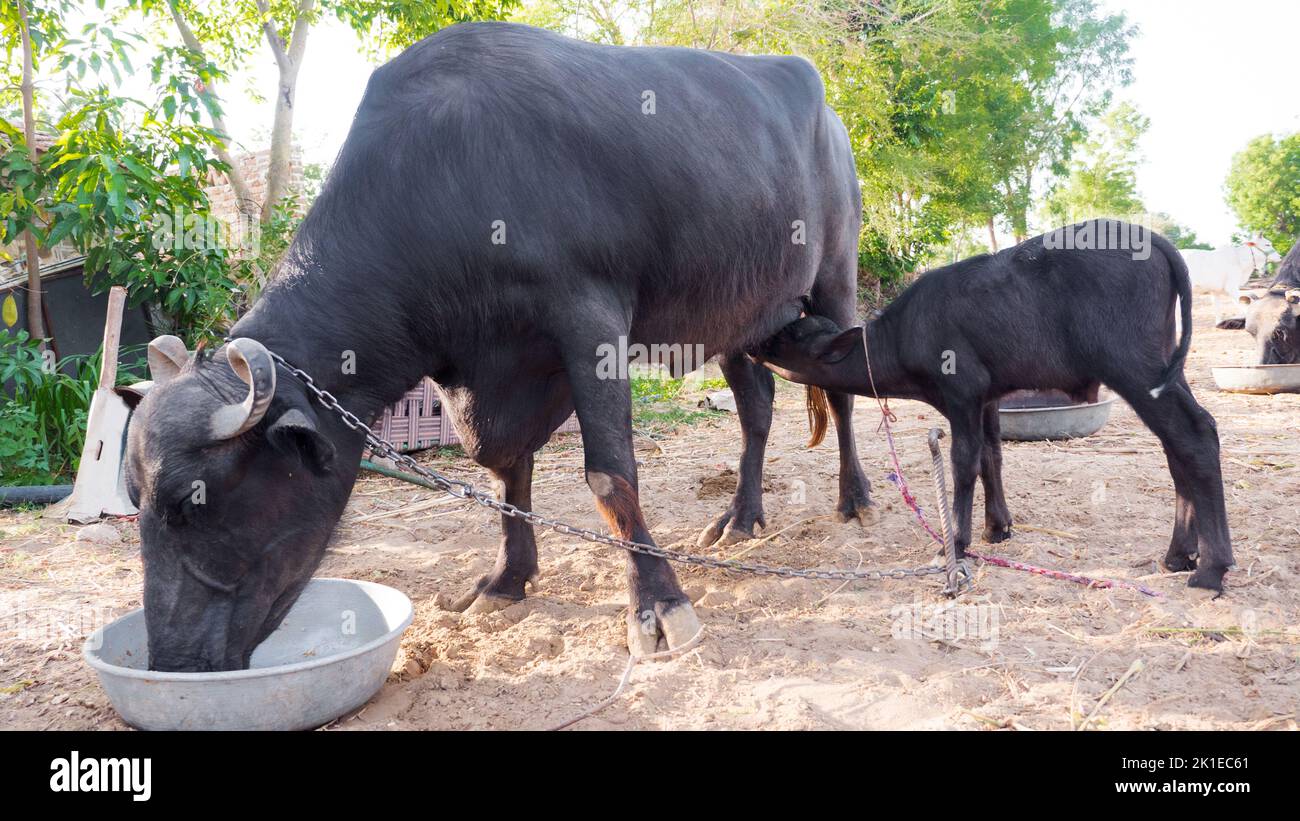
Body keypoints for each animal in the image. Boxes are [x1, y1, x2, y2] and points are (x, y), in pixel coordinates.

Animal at [120, 22, 872, 672]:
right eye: (136, 502)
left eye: (194, 501)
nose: (174, 663)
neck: (449, 181)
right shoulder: (485, 372)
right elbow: (502, 467)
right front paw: (508, 579)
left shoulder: (589, 317)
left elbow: (609, 472)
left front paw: (658, 606)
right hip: (742, 312)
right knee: (757, 405)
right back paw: (741, 517)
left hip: (836, 273)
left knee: (841, 384)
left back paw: (855, 497)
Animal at [749, 221, 1235, 592]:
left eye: (788, 336)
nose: (753, 341)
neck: (903, 334)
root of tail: (1156, 241)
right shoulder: (988, 399)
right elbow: (991, 456)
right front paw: (997, 527)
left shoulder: (961, 394)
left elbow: (963, 463)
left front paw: (957, 541)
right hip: (1165, 367)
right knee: (1181, 445)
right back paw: (1181, 555)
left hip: (1134, 368)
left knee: (1193, 435)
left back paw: (1210, 568)